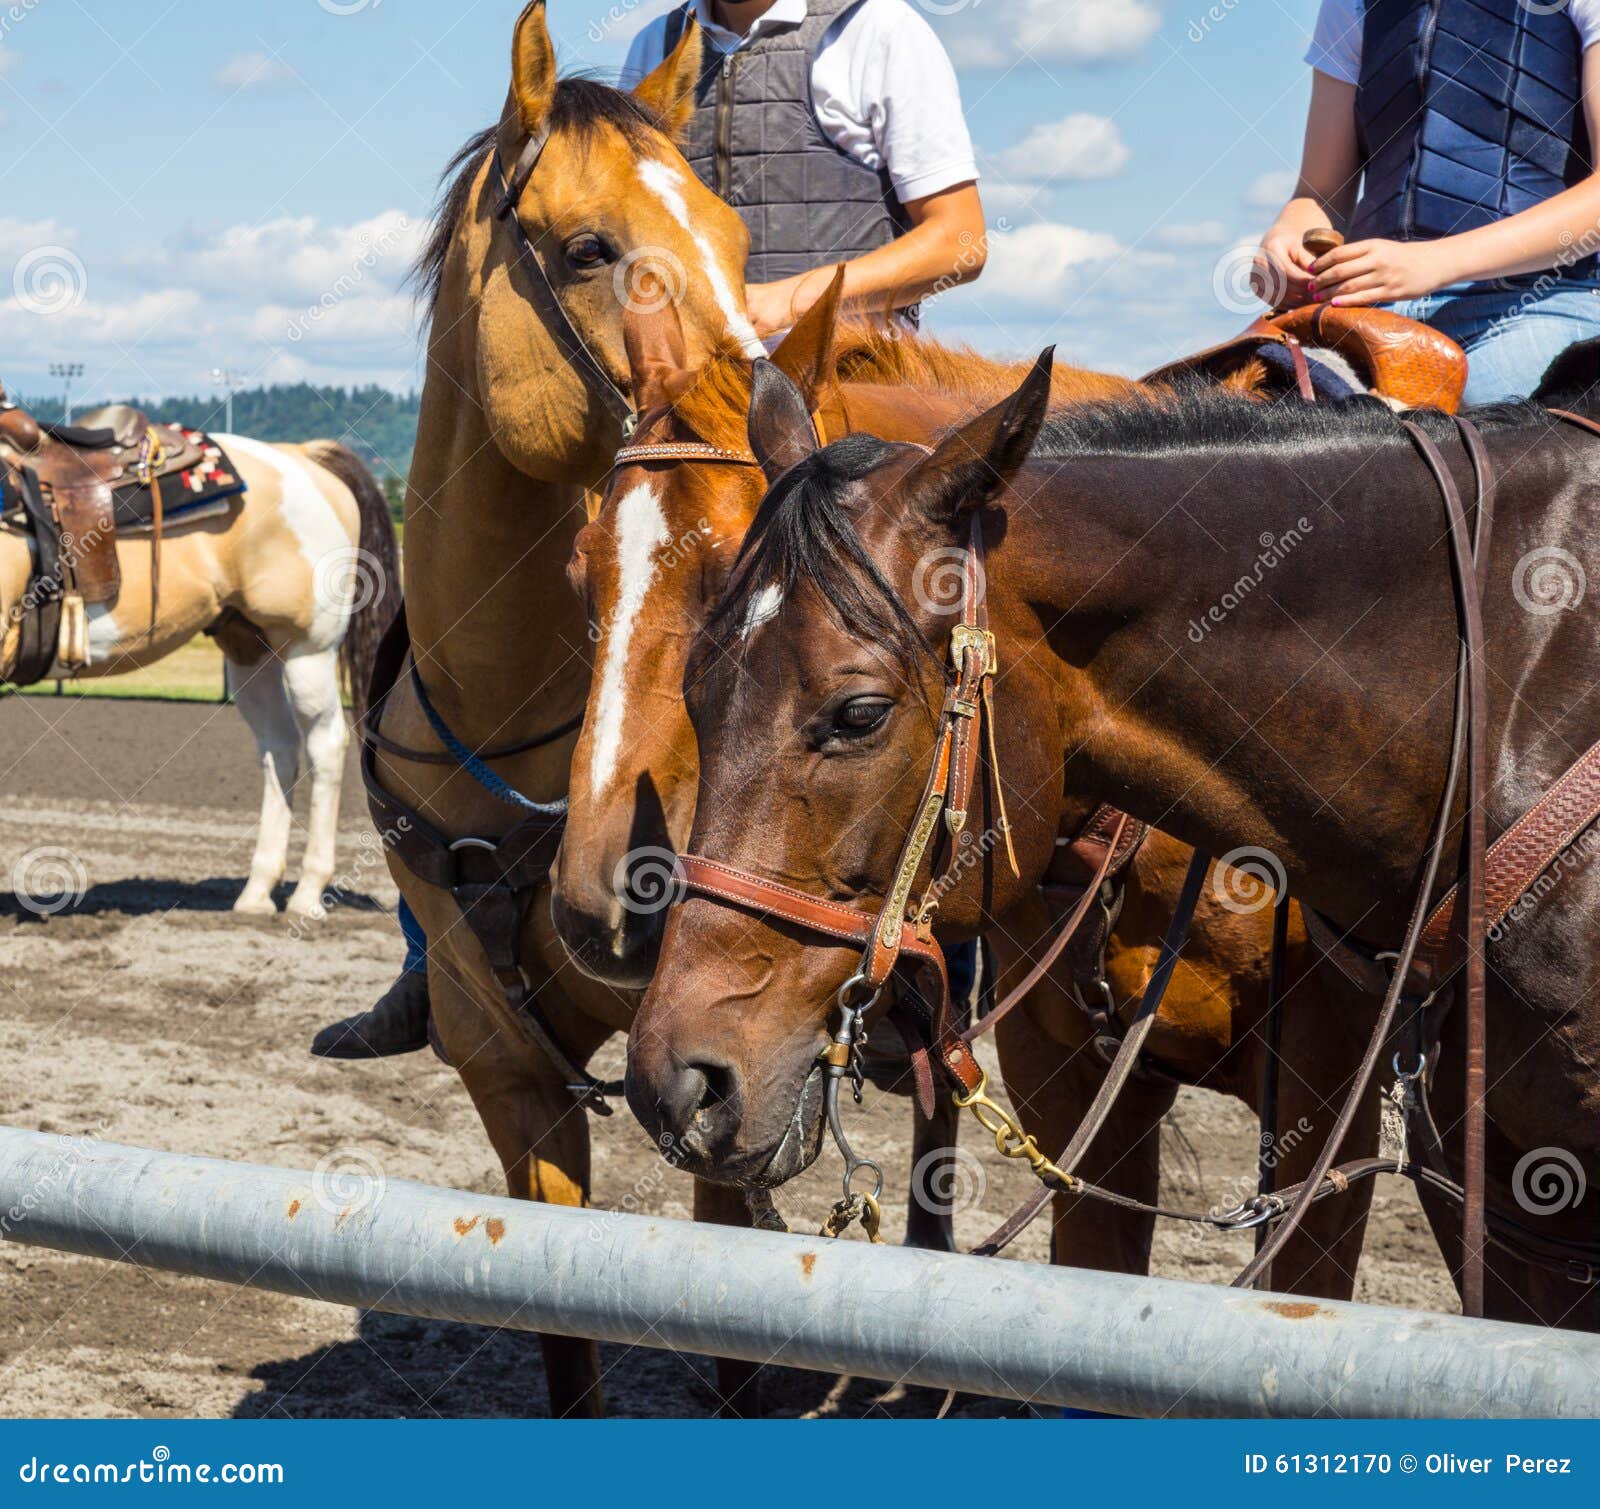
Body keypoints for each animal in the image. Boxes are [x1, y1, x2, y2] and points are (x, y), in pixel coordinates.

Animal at [1, 401, 396, 919]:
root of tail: (302, 456)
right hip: (249, 651)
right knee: (280, 748)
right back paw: (257, 892)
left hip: (307, 648)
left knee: (325, 746)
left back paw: (308, 893)